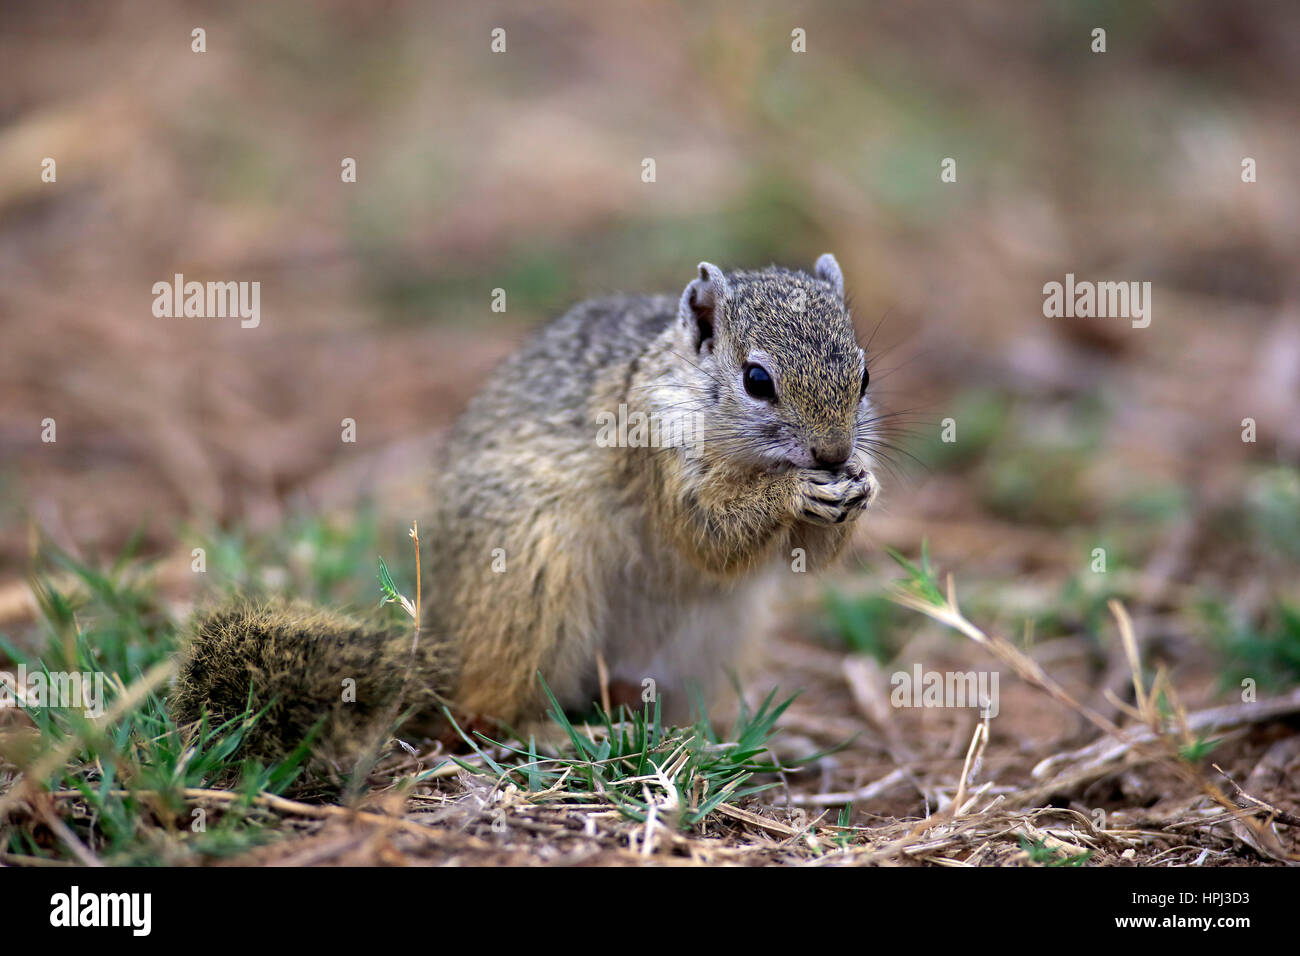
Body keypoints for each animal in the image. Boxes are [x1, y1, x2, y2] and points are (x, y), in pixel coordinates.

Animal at [170, 255, 881, 765]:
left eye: (865, 375)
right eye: (757, 380)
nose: (833, 451)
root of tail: (447, 643)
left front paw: (862, 486)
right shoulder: (652, 452)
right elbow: (707, 535)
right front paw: (794, 493)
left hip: (712, 640)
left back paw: (741, 739)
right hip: (534, 581)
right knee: (488, 717)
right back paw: (568, 735)